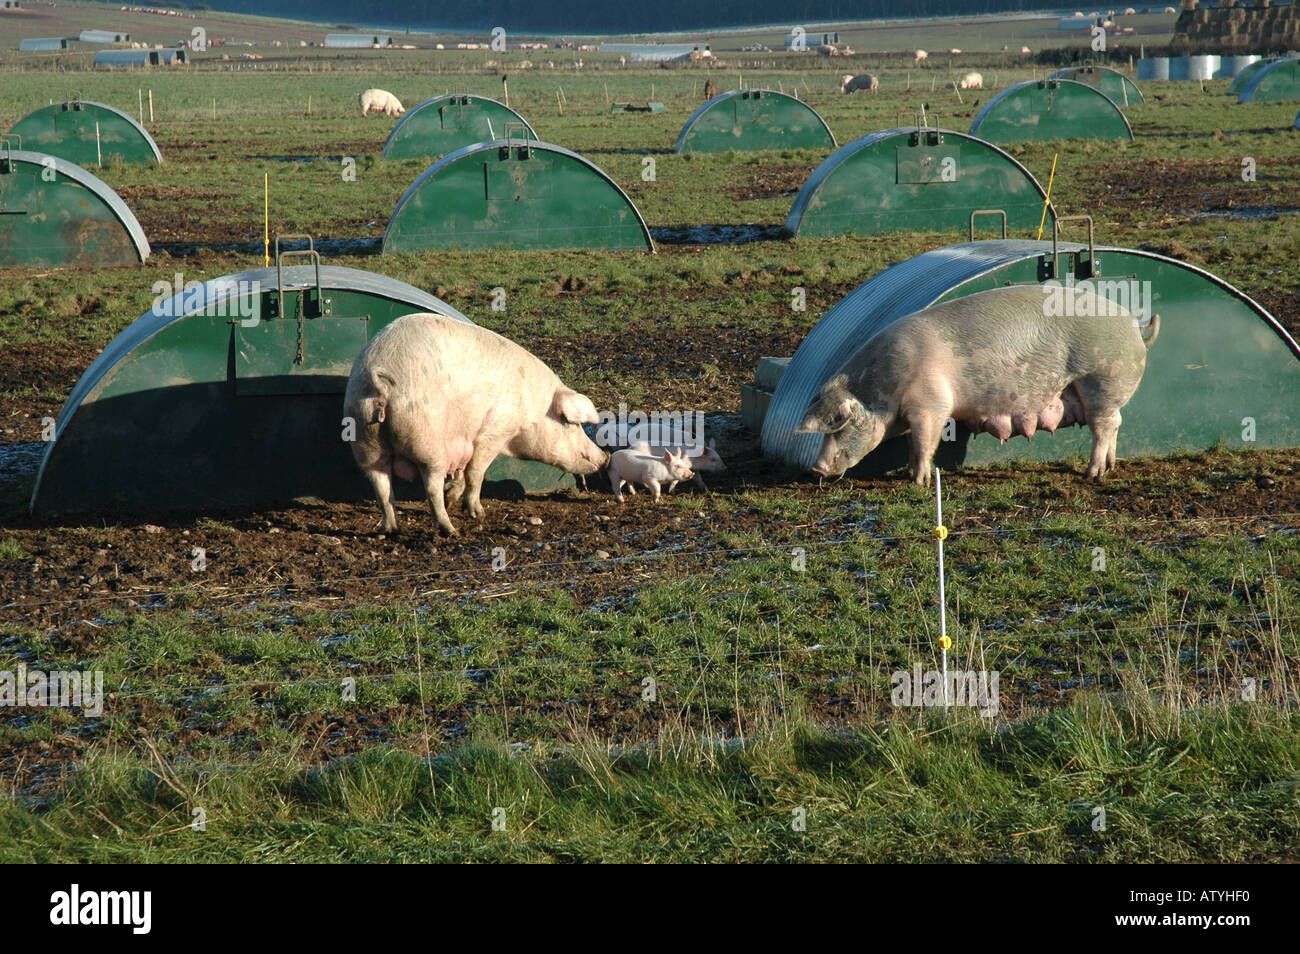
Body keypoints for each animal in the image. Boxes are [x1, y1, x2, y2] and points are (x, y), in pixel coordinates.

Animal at [343, 313, 609, 535]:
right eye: (570, 423)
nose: (605, 456)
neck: (532, 409)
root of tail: (381, 381)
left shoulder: (465, 438)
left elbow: (462, 470)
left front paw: (454, 497)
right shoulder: (495, 431)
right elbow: (476, 471)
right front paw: (477, 514)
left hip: (364, 440)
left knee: (381, 484)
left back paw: (391, 529)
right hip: (426, 442)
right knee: (431, 487)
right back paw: (450, 530)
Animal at [796, 285, 1159, 486]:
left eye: (839, 426)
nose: (815, 468)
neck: (881, 388)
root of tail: (1134, 325)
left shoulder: (931, 405)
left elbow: (923, 443)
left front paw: (918, 481)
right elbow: (916, 445)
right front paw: (912, 475)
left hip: (1103, 380)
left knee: (1105, 426)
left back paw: (1092, 474)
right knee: (1114, 425)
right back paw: (1108, 468)